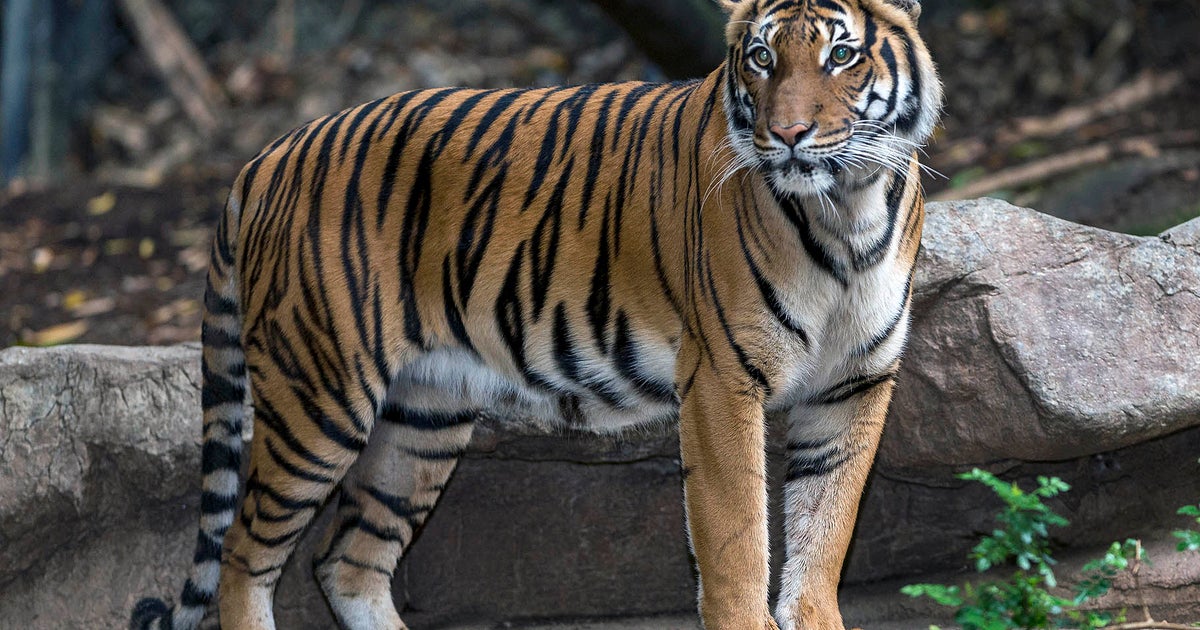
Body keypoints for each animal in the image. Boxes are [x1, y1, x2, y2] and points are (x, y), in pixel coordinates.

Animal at [131, 0, 940, 628]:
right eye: (763, 58)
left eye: (841, 55)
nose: (790, 135)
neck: (848, 210)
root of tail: (263, 158)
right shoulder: (722, 381)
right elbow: (737, 538)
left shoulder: (854, 384)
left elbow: (824, 531)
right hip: (320, 399)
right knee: (243, 559)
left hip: (425, 416)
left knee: (347, 560)